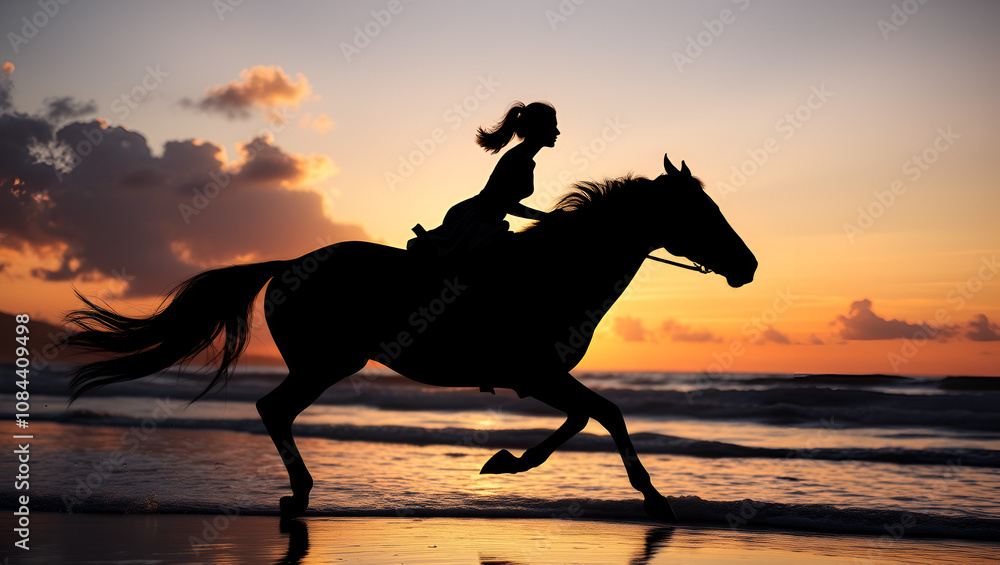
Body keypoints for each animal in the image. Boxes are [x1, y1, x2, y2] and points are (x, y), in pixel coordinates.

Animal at [65, 154, 757, 521]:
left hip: (326, 363)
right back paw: (301, 494)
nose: (748, 267)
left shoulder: (541, 377)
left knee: (275, 409)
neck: (559, 271)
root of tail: (288, 264)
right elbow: (603, 414)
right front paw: (653, 498)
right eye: (703, 211)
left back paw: (301, 493)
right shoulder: (534, 373)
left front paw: (507, 461)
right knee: (273, 408)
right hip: (328, 361)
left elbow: (592, 416)